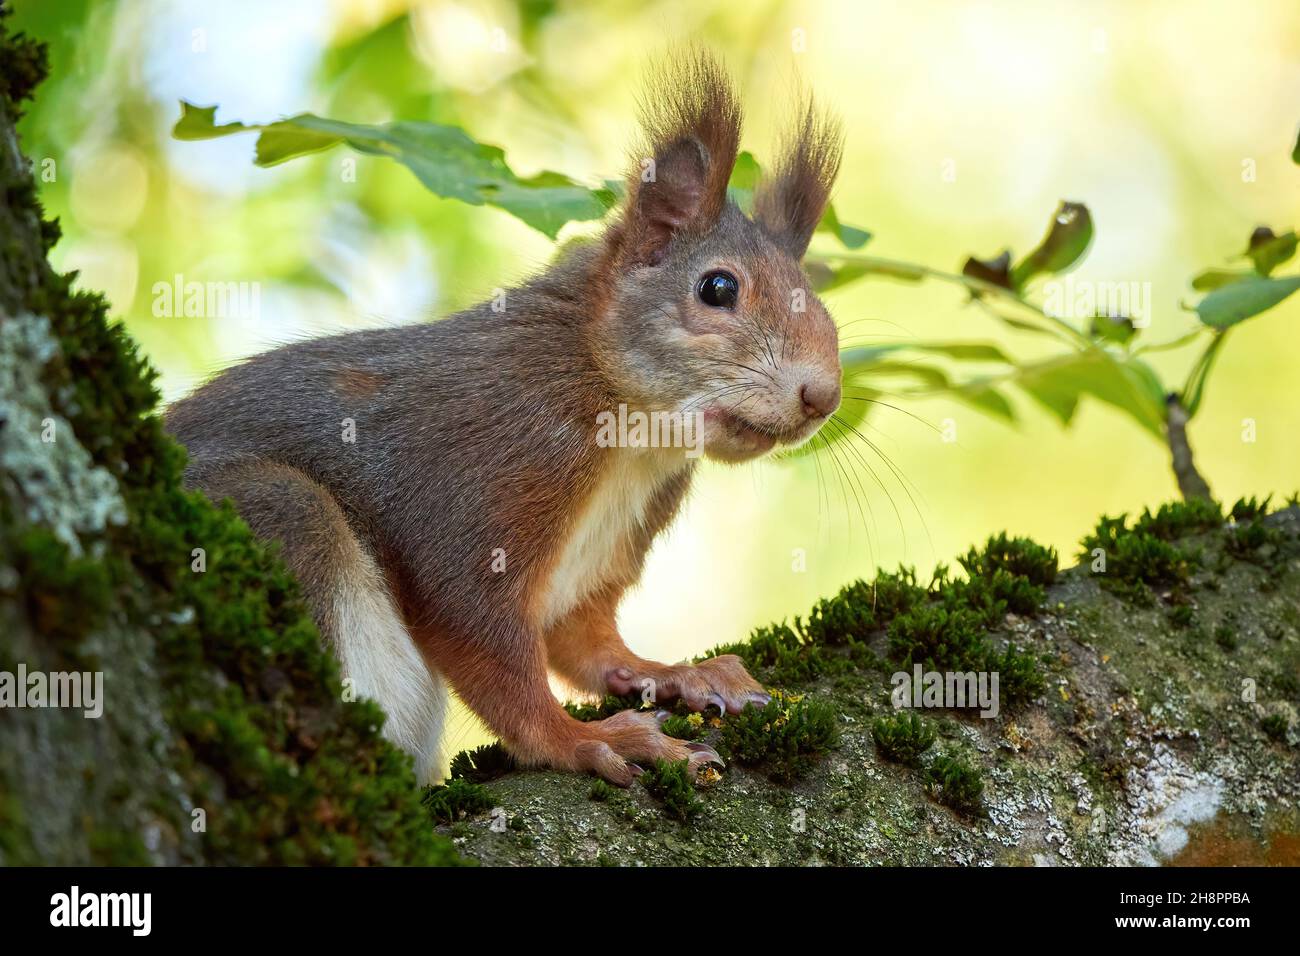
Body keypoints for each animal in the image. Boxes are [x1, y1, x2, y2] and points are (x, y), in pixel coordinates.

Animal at [165, 51, 844, 786]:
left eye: (822, 303)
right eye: (718, 288)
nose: (823, 396)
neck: (635, 435)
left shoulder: (607, 547)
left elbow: (588, 643)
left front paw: (678, 673)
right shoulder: (489, 470)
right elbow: (482, 638)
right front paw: (583, 739)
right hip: (272, 514)